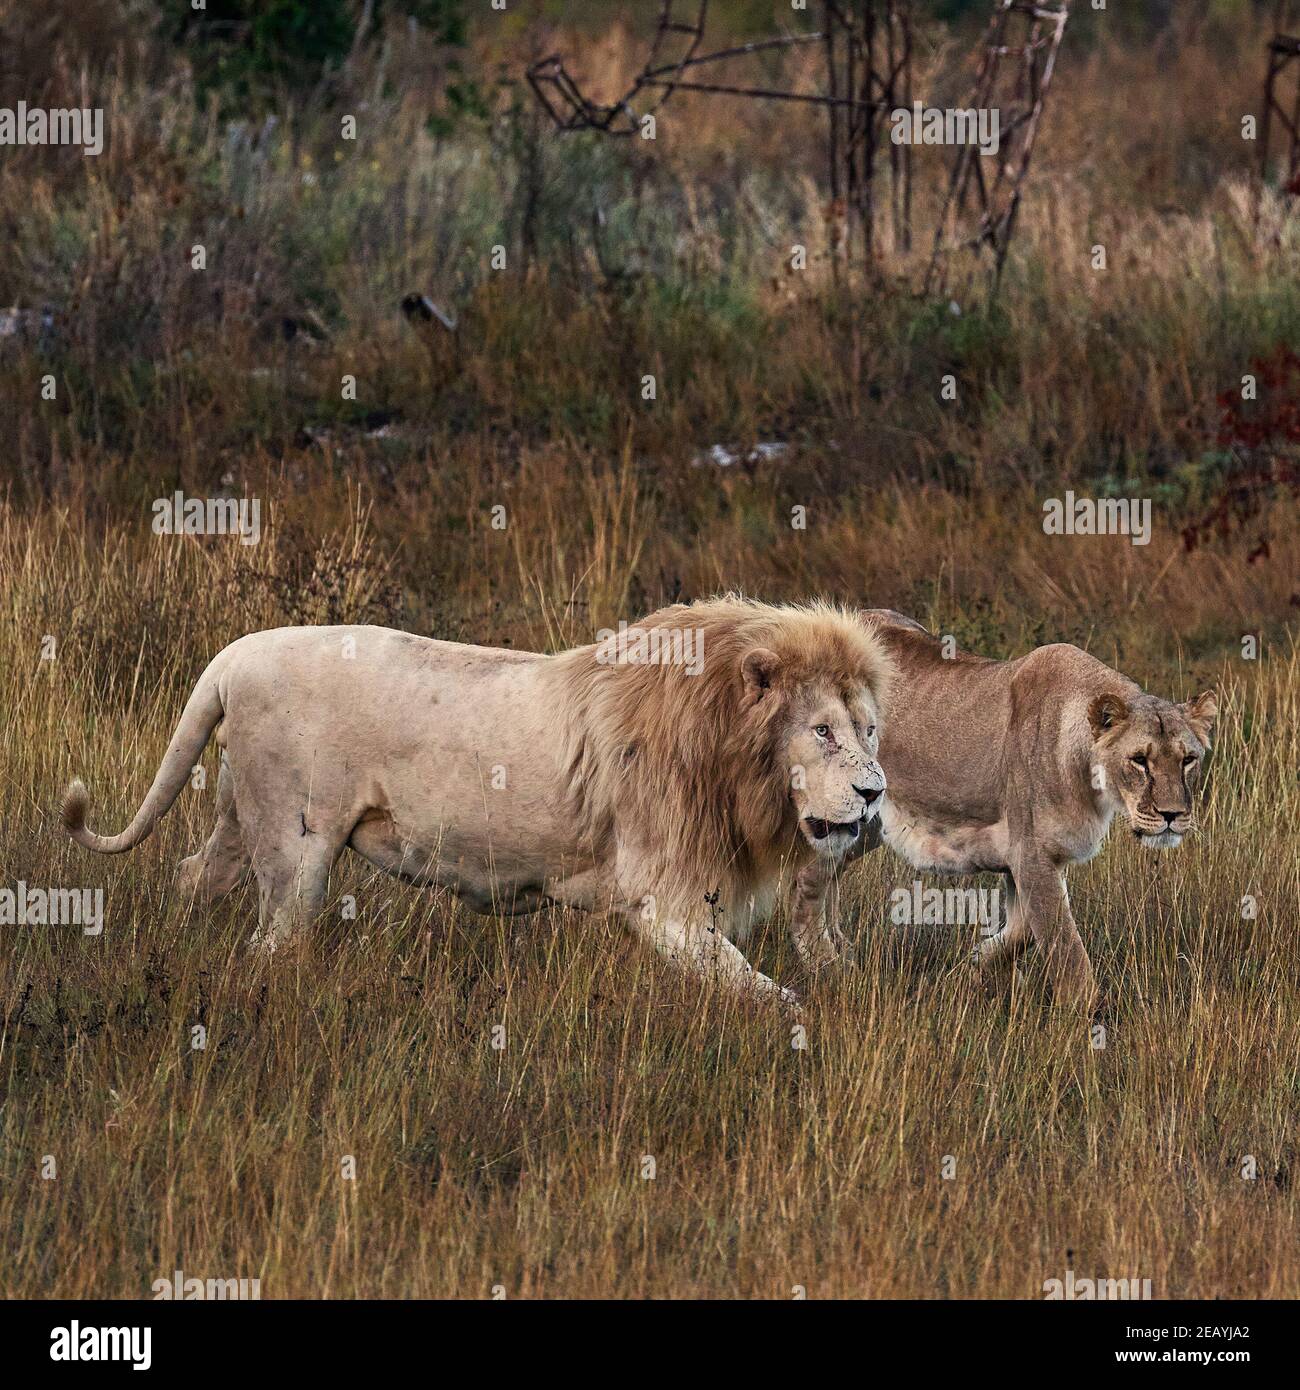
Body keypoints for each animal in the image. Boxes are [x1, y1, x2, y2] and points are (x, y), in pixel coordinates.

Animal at [60, 598, 892, 1006]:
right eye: (822, 730)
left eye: (869, 729)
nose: (875, 792)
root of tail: (229, 659)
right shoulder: (666, 903)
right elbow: (760, 992)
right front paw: (803, 1026)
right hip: (296, 854)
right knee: (270, 944)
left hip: (241, 820)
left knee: (191, 878)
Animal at [790, 611, 1217, 1004]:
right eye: (1140, 760)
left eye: (1188, 760)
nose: (1172, 816)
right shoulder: (1030, 852)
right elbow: (1066, 949)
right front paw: (1085, 1018)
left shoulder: (1031, 857)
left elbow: (1024, 929)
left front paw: (971, 968)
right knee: (808, 878)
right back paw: (826, 965)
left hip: (867, 826)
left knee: (830, 875)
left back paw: (842, 949)